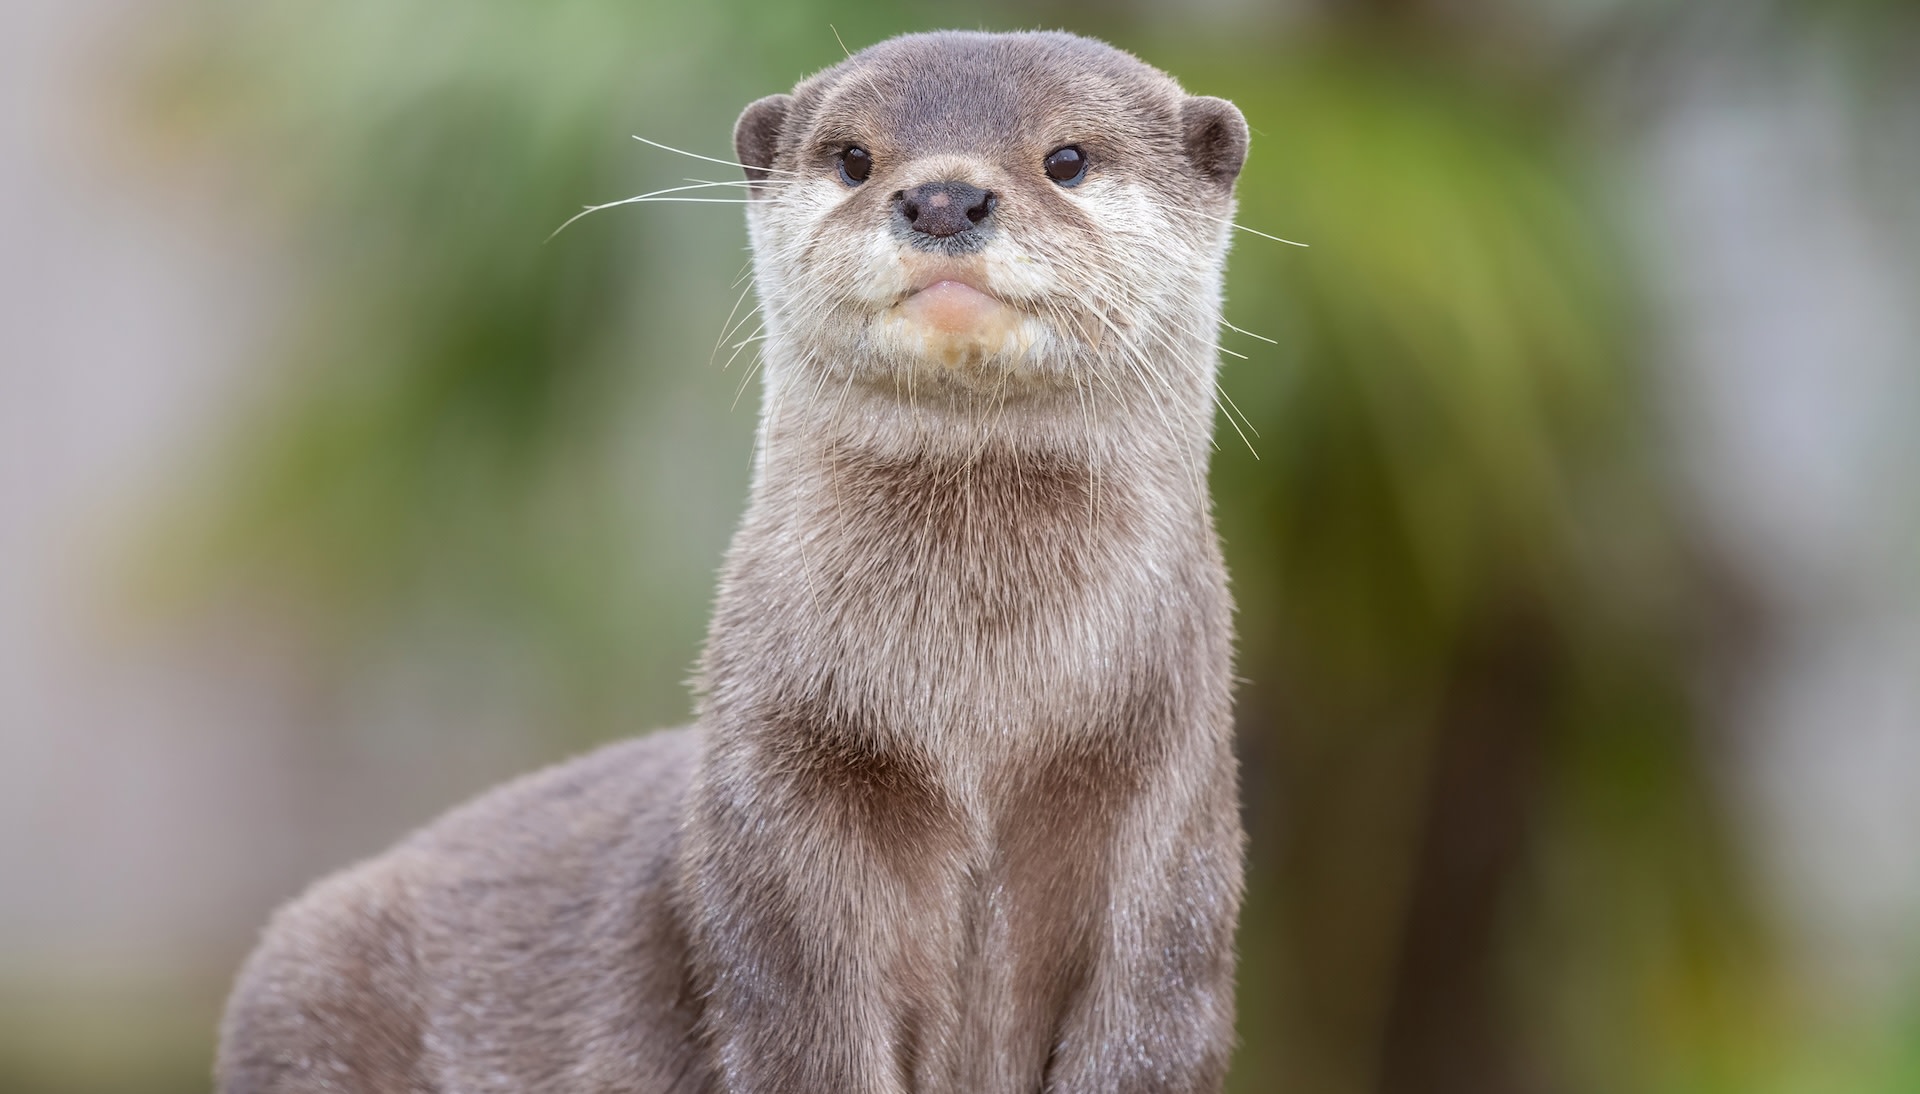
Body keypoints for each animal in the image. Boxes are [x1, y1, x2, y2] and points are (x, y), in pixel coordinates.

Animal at [218, 30, 1250, 1094]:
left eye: (1068, 159)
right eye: (854, 158)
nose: (942, 198)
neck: (977, 723)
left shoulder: (1167, 832)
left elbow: (1144, 1027)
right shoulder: (779, 819)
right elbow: (807, 1028)